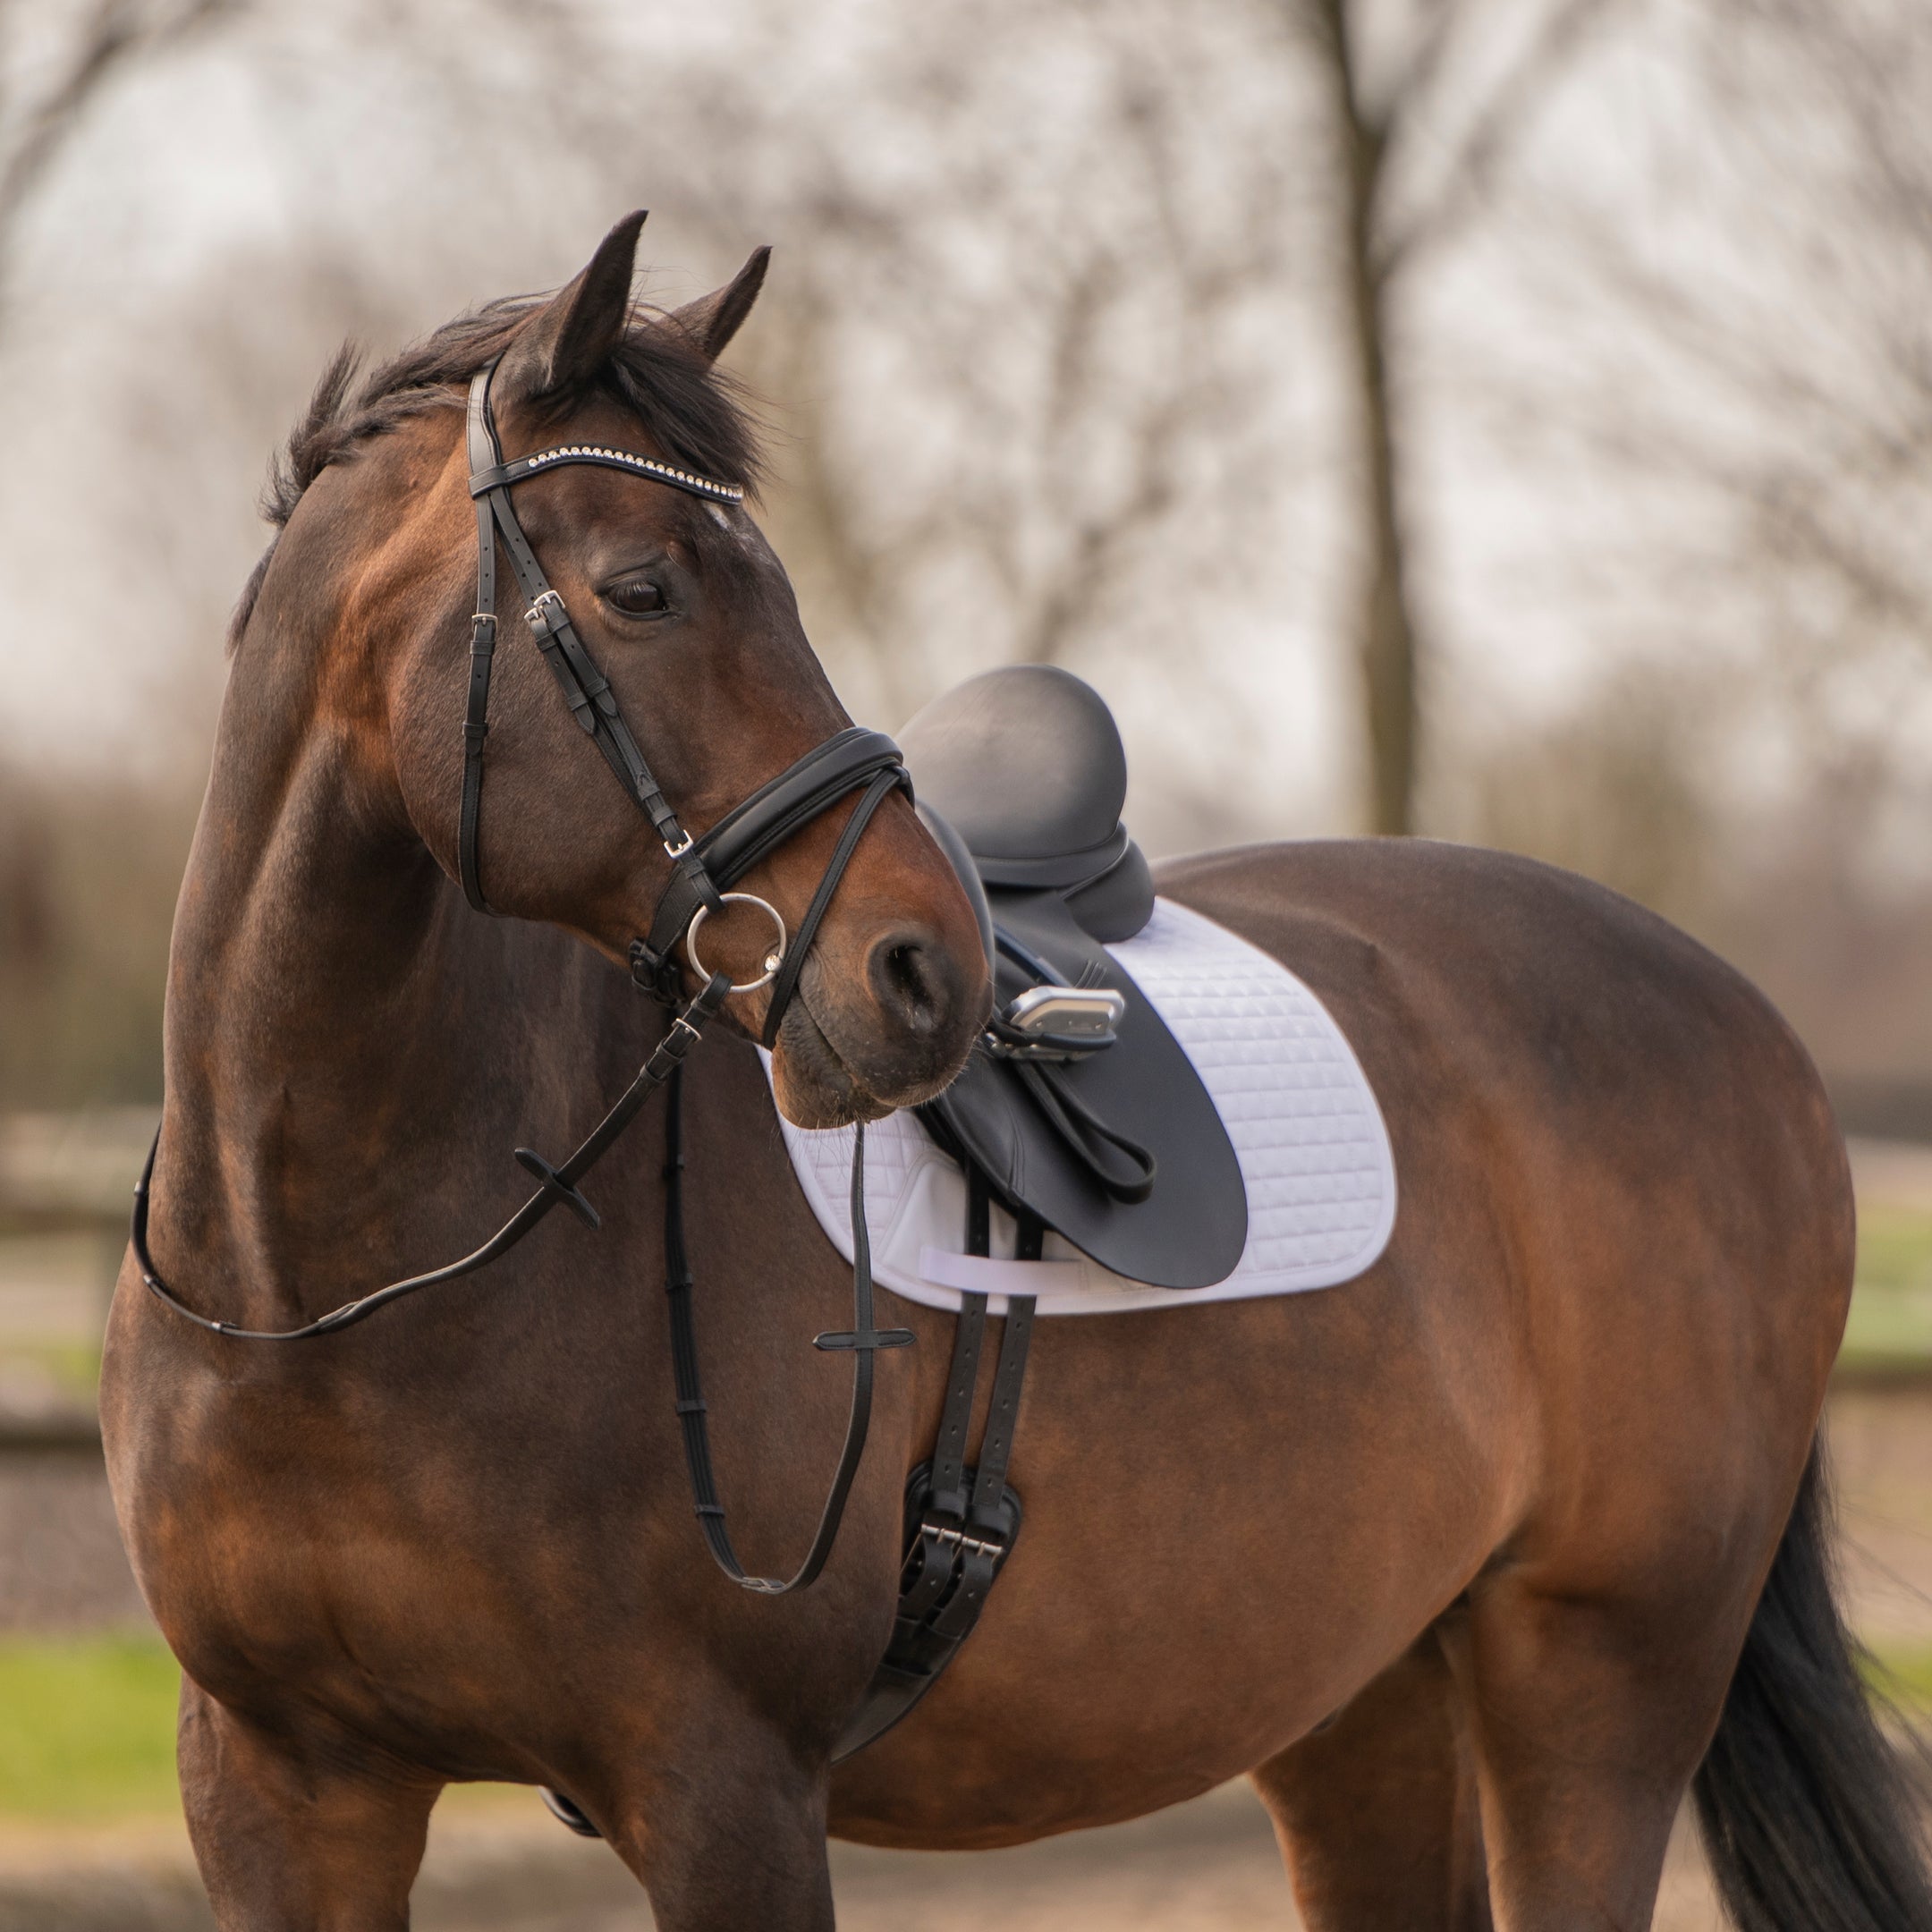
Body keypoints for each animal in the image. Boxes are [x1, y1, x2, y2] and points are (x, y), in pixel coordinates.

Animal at [102, 214, 1932, 1932]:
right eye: (643, 588)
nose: (928, 972)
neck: (333, 1286)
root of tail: (1739, 1016)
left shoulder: (723, 1792)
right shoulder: (281, 1793)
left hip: (1600, 1675)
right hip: (1364, 1695)